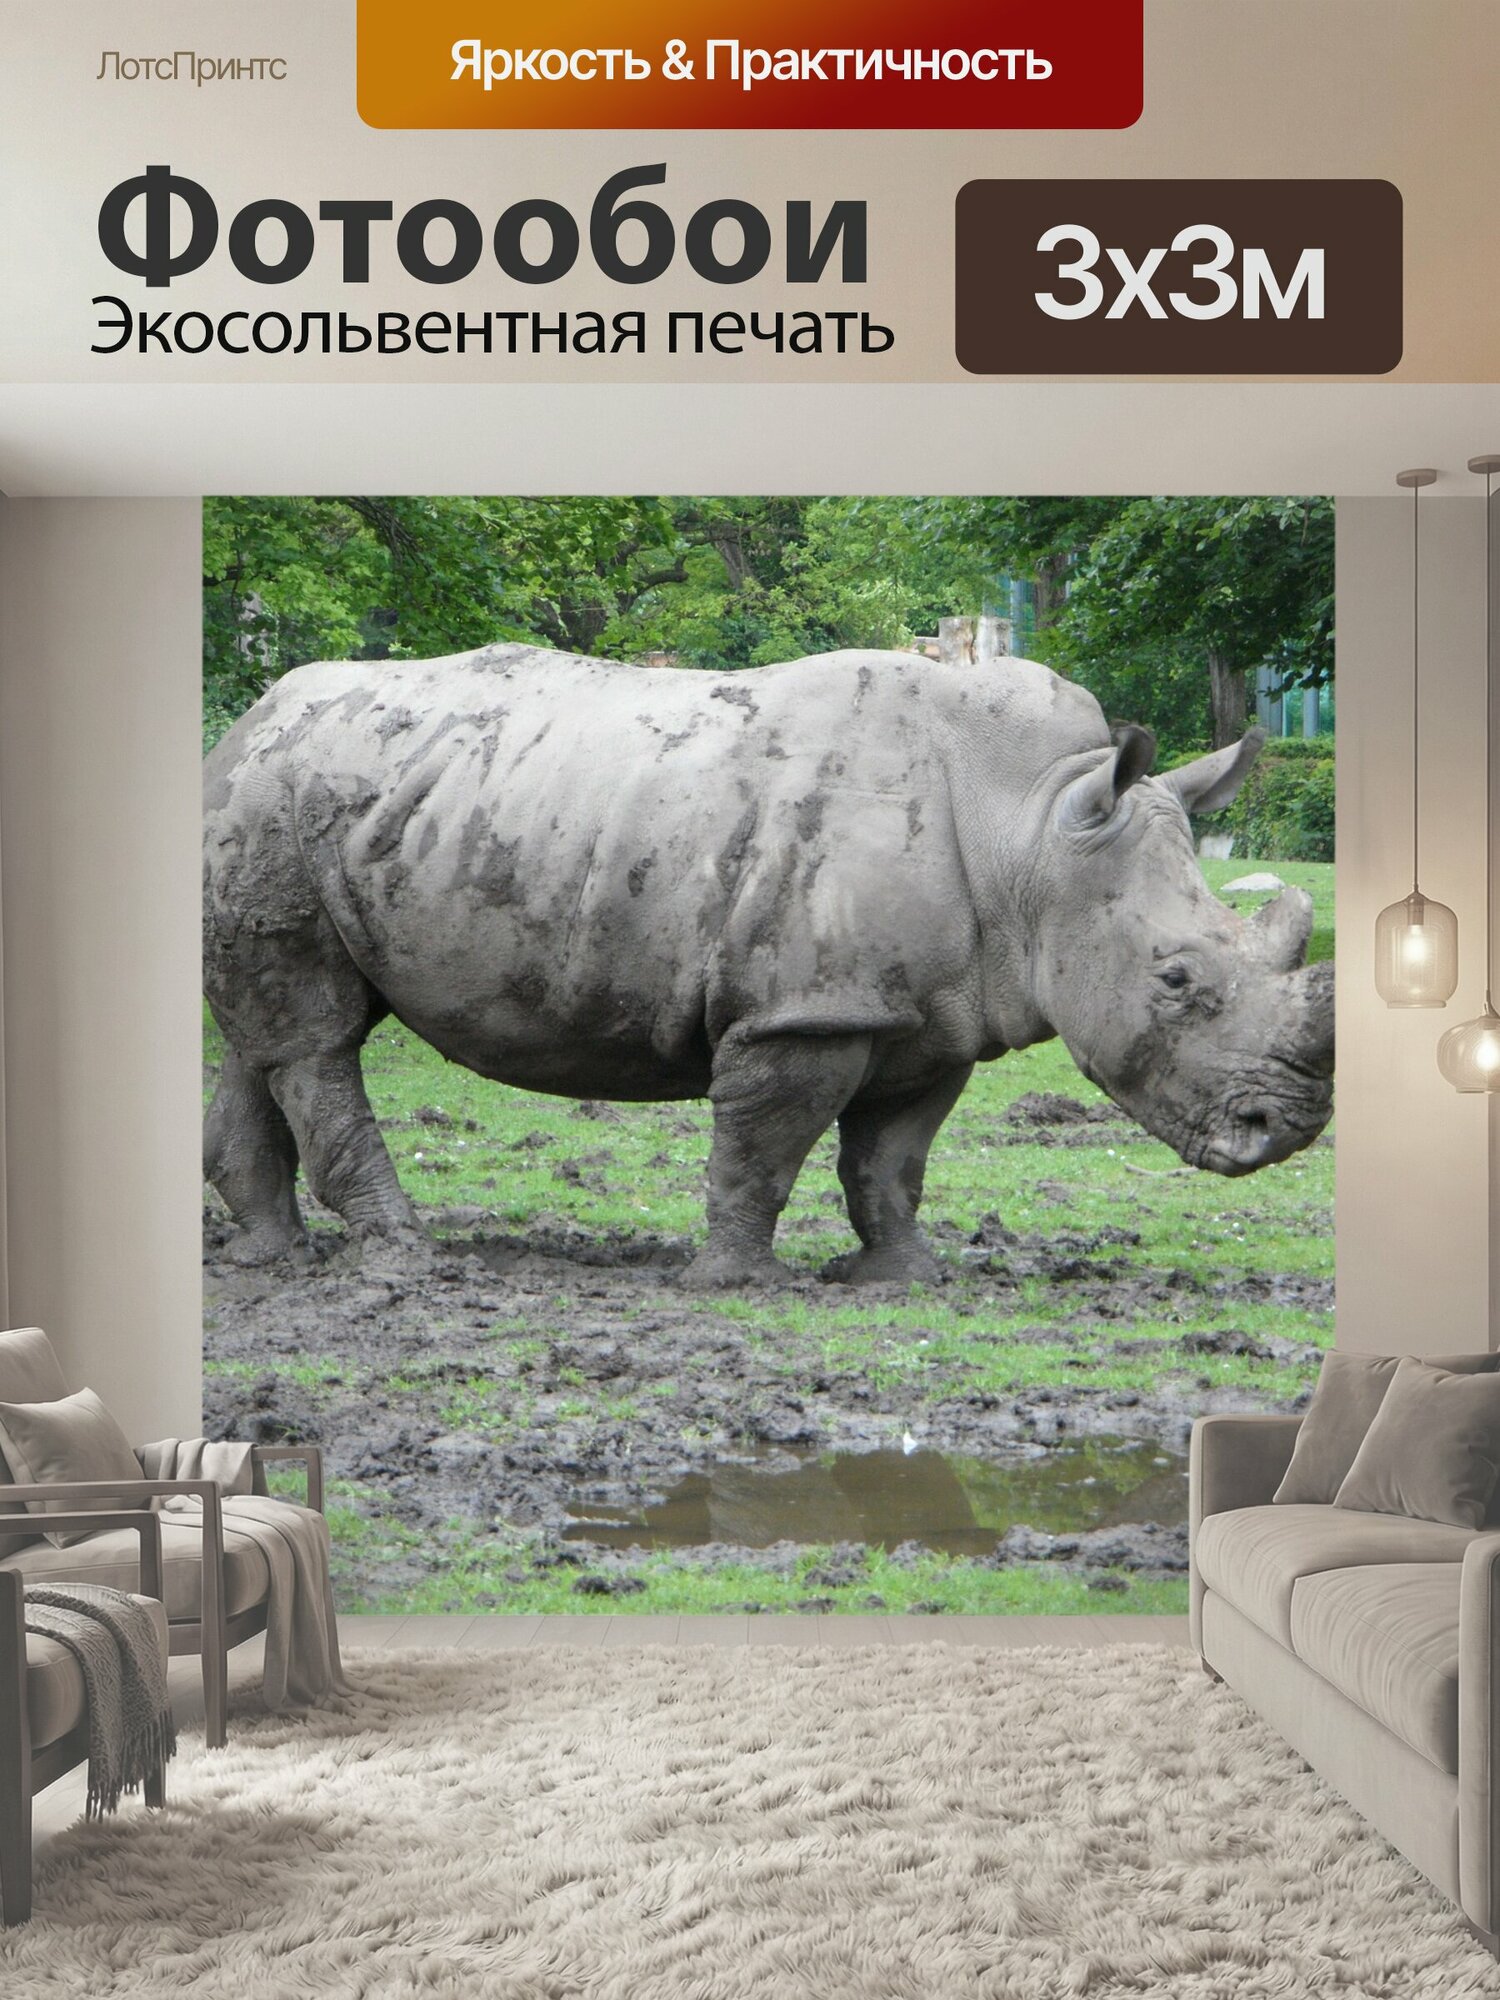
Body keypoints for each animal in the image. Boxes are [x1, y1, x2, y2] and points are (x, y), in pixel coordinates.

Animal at [203, 644, 1333, 1285]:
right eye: (1177, 981)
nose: (1284, 1130)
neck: (1031, 825)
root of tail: (244, 719)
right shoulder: (807, 1005)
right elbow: (766, 1142)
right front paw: (733, 1281)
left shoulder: (929, 1011)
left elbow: (893, 1156)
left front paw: (903, 1279)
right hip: (274, 803)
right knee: (314, 1036)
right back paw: (401, 1262)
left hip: (326, 805)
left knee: (264, 1035)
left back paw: (269, 1256)